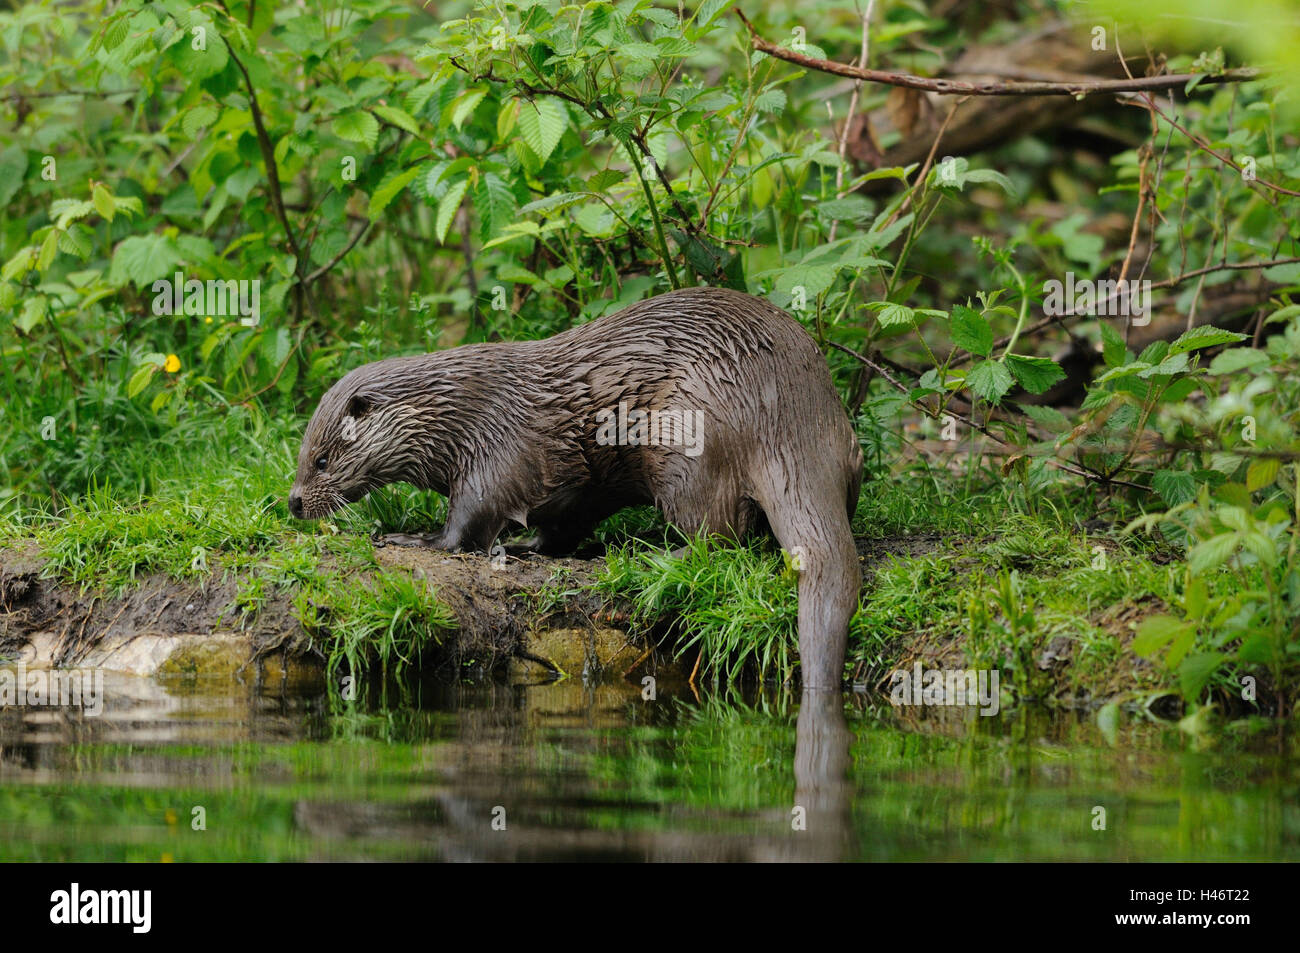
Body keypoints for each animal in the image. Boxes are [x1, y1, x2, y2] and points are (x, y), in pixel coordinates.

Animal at [289, 287, 863, 690]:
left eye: (321, 461)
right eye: (301, 457)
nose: (294, 501)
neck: (451, 417)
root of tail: (789, 409)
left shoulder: (495, 448)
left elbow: (468, 524)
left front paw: (412, 539)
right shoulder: (567, 483)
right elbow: (559, 522)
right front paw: (527, 547)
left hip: (682, 446)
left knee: (718, 536)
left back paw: (653, 556)